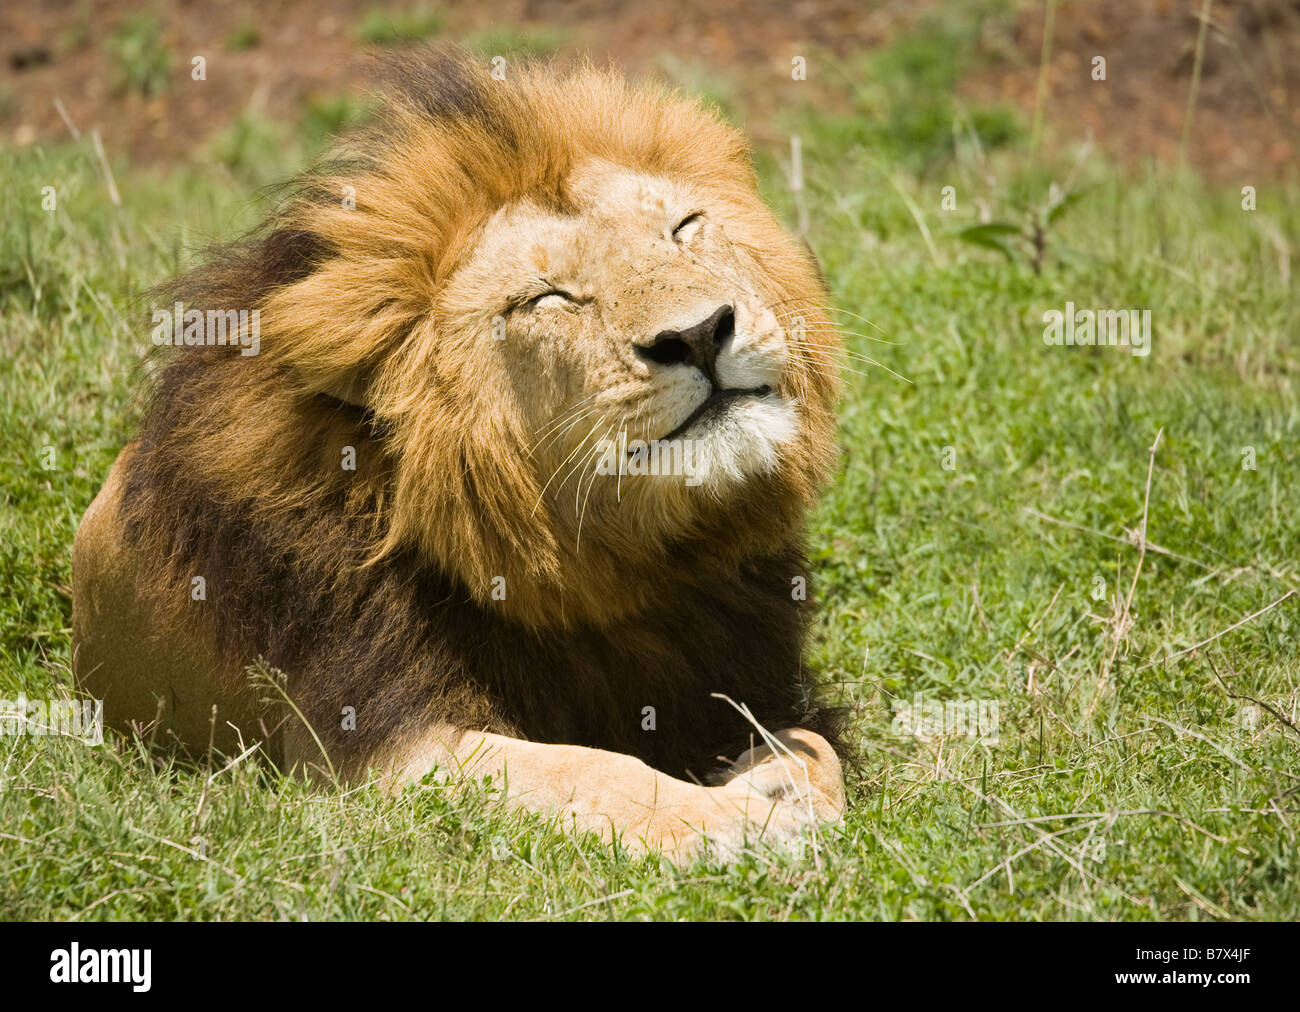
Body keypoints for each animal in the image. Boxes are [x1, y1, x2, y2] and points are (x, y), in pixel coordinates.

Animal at [72, 48, 848, 864]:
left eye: (685, 228)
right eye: (548, 299)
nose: (700, 334)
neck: (618, 570)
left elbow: (816, 751)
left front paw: (774, 777)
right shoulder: (376, 744)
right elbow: (592, 770)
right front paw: (740, 822)